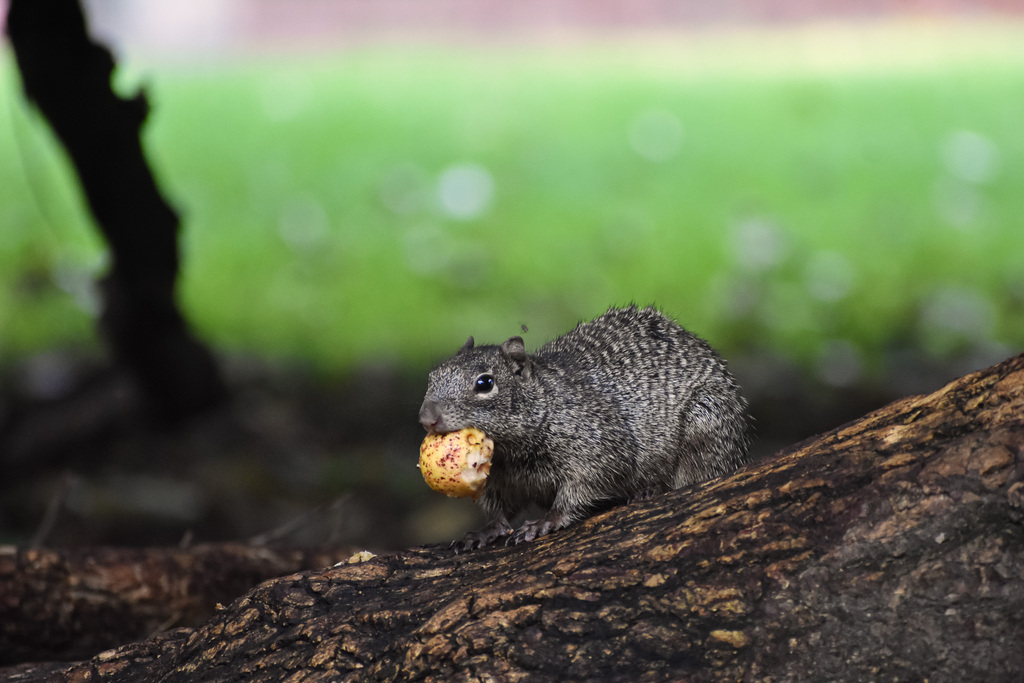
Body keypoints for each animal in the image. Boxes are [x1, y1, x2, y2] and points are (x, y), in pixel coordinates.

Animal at [419, 305, 750, 550]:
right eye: (433, 375)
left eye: (485, 383)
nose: (426, 418)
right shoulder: (500, 481)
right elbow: (499, 510)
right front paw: (487, 530)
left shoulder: (598, 448)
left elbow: (583, 486)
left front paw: (548, 520)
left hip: (706, 427)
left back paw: (652, 489)